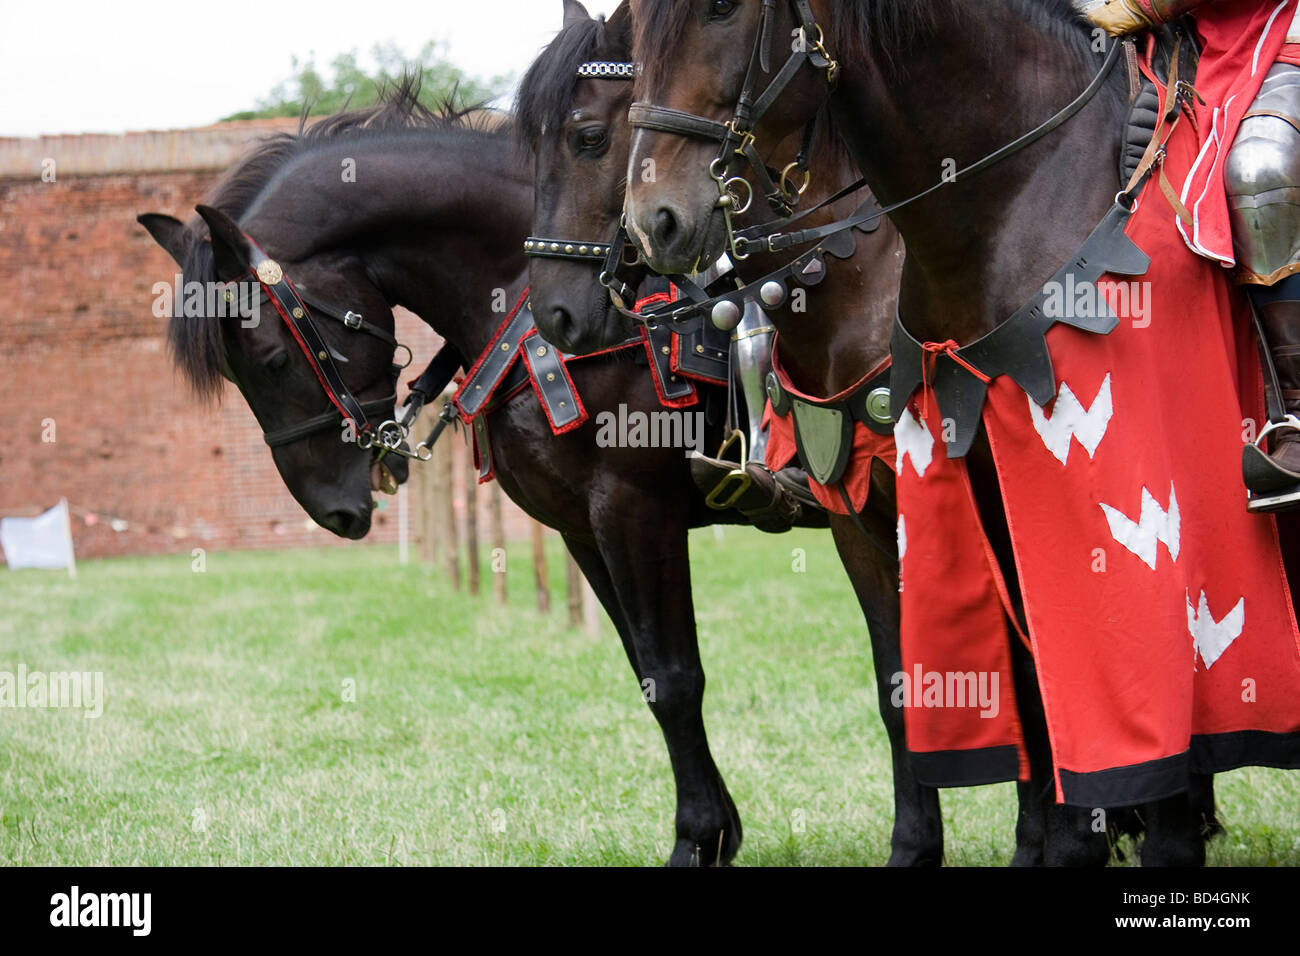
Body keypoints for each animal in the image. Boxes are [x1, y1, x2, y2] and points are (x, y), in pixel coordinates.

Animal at [137, 82, 843, 866]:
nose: (334, 510)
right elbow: (647, 671)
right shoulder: (585, 532)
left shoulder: (635, 513)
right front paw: (719, 829)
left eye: (271, 358)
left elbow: (676, 677)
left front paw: (696, 837)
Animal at [613, 0, 1247, 865]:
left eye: (721, 9)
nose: (652, 228)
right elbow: (930, 685)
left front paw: (1097, 839)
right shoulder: (886, 511)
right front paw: (964, 846)